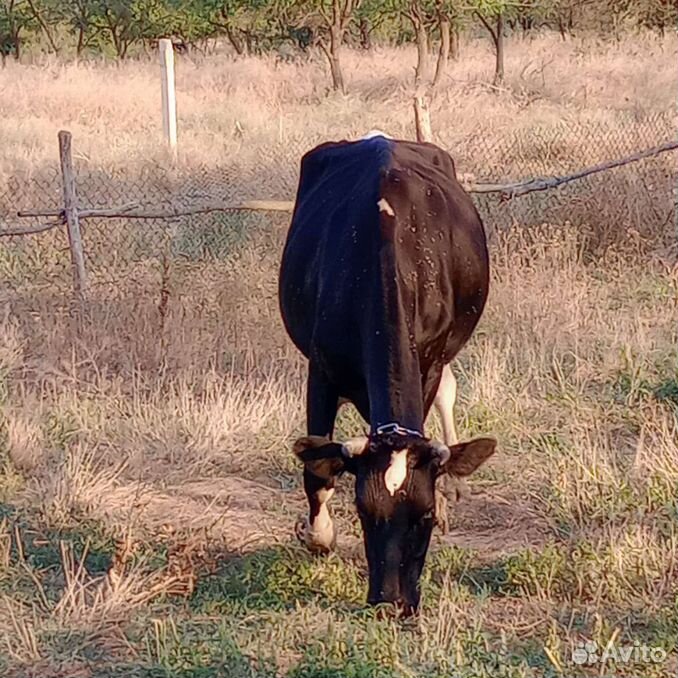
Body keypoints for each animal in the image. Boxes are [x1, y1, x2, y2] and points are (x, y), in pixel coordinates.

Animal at [278, 131, 496, 616]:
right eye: (364, 512)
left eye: (425, 516)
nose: (392, 603)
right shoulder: (321, 370)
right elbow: (317, 467)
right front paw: (319, 537)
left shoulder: (429, 360)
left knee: (448, 395)